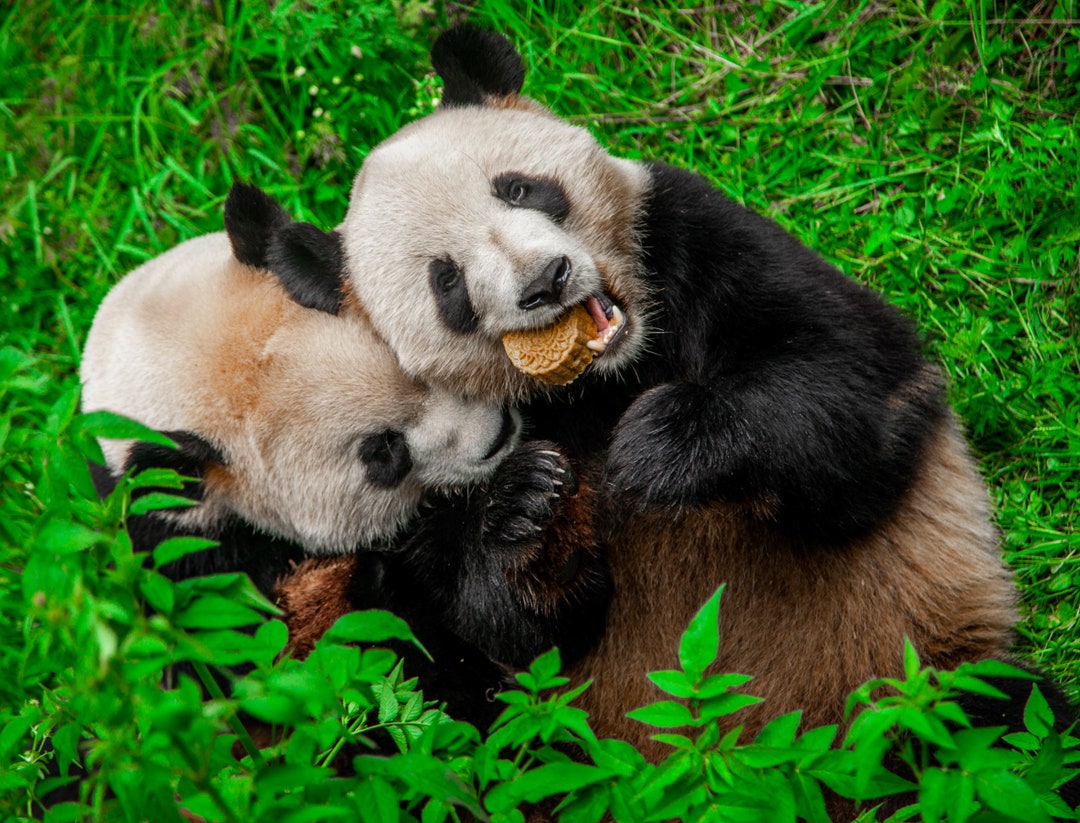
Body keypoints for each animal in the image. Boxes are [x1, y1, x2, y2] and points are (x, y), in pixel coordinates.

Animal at [269, 24, 1077, 803]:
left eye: (522, 189)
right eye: (447, 282)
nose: (545, 281)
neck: (609, 378)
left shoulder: (685, 228)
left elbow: (850, 384)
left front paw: (662, 445)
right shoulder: (426, 478)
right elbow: (515, 630)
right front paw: (529, 510)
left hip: (916, 671)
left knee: (1009, 733)